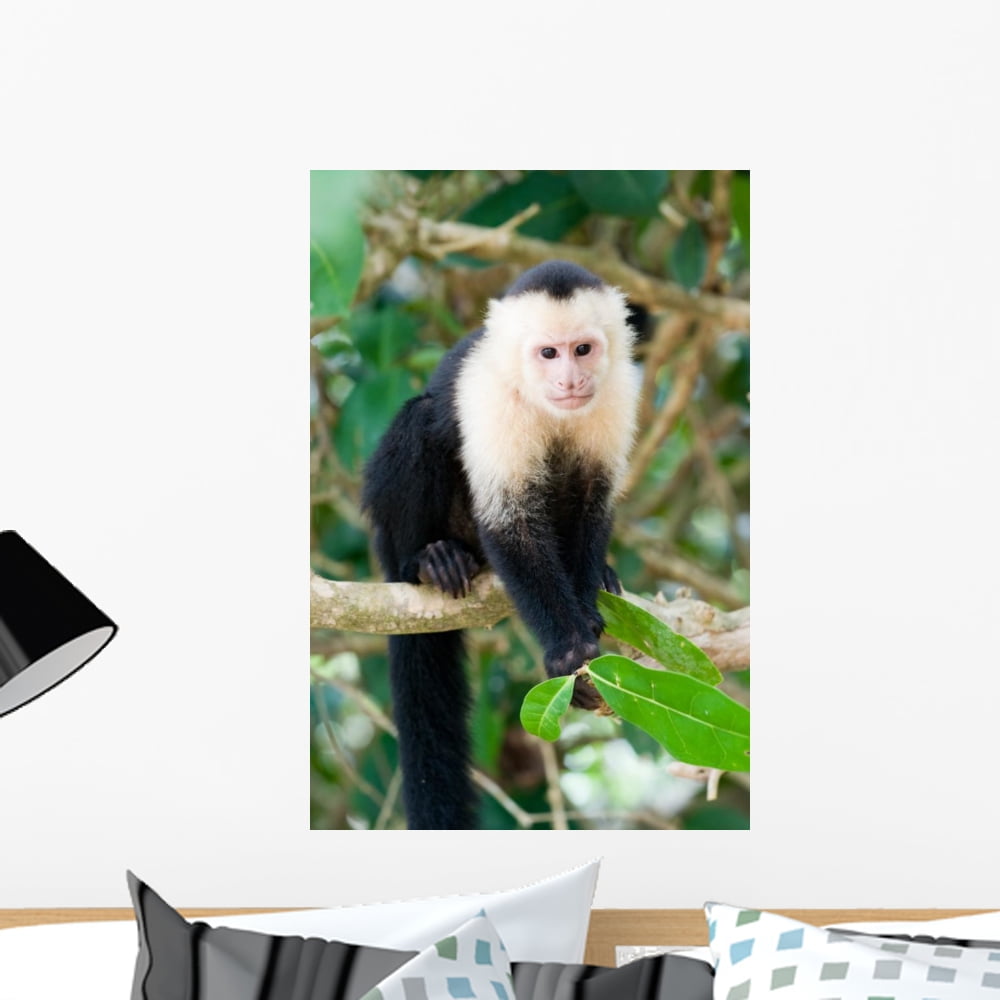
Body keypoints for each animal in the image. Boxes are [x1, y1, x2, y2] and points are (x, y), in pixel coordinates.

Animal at [361, 260, 641, 829]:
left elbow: (592, 501)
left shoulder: (620, 391)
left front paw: (588, 608)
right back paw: (428, 561)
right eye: (548, 353)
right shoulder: (489, 397)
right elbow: (511, 525)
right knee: (421, 422)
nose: (570, 379)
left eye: (583, 349)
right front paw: (570, 650)